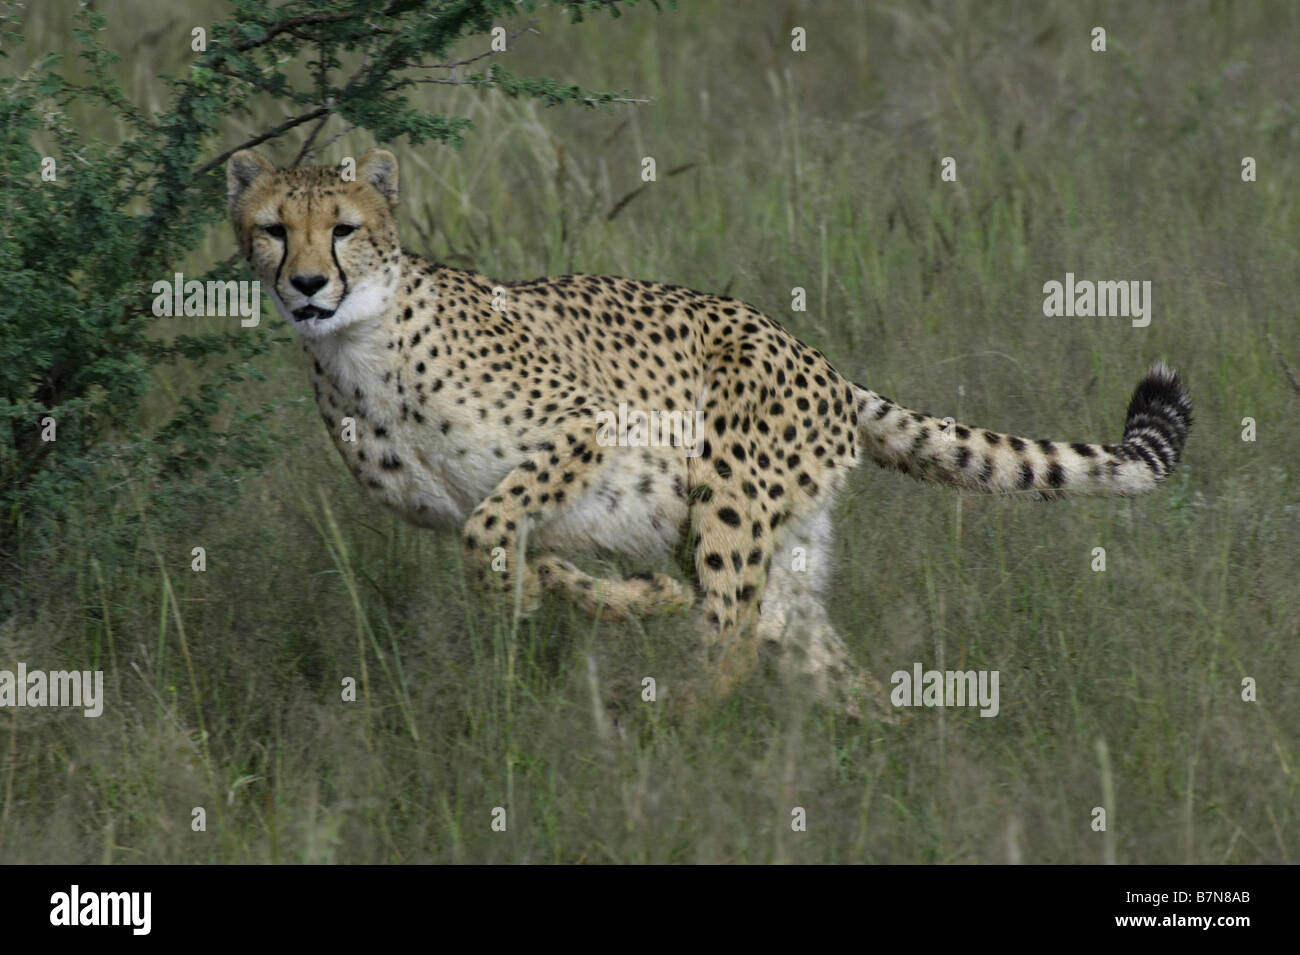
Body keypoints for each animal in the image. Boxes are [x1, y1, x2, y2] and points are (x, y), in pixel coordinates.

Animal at [227, 148, 1192, 714]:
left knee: (731, 636)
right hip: (785, 550)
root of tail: (818, 358)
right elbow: (520, 545)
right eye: (273, 230)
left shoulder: (589, 423)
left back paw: (676, 732)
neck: (359, 342)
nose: (307, 285)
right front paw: (619, 596)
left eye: (344, 229)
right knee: (819, 659)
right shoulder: (462, 505)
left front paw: (526, 599)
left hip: (729, 492)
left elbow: (496, 524)